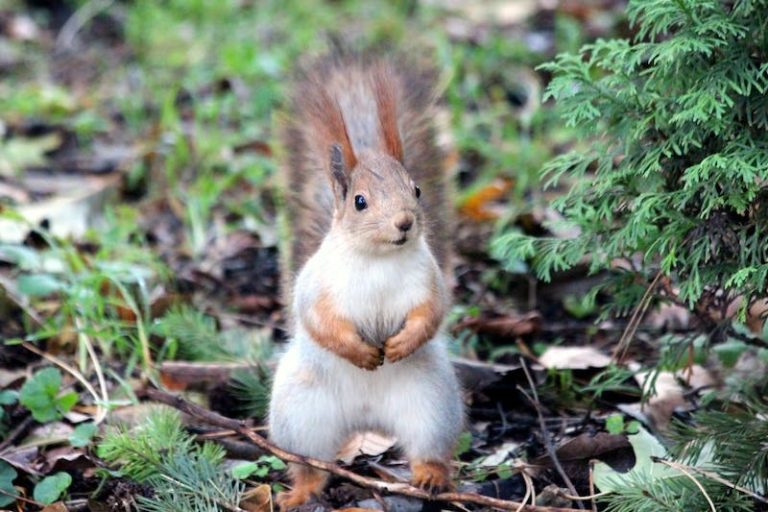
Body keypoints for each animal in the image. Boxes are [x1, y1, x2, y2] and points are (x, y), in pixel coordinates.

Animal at [269, 52, 464, 511]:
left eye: (416, 189)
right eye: (360, 202)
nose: (405, 222)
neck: (378, 259)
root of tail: (367, 418)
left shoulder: (429, 282)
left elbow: (431, 314)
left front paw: (401, 344)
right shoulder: (317, 287)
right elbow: (319, 320)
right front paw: (359, 352)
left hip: (432, 405)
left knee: (429, 448)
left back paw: (430, 477)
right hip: (299, 413)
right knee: (308, 464)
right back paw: (301, 491)